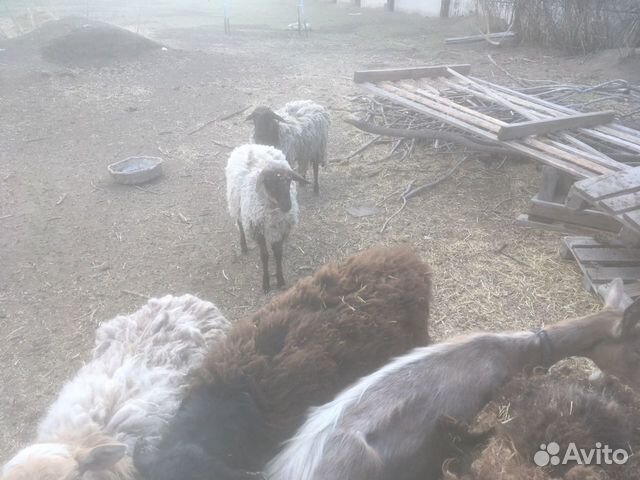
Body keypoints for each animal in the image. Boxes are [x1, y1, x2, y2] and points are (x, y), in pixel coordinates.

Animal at [226, 144, 309, 293]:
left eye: (289, 182)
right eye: (270, 182)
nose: (287, 206)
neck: (273, 211)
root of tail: (248, 145)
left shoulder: (281, 229)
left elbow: (278, 254)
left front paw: (280, 280)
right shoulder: (257, 230)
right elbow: (264, 256)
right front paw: (266, 283)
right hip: (235, 204)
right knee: (239, 224)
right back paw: (243, 246)